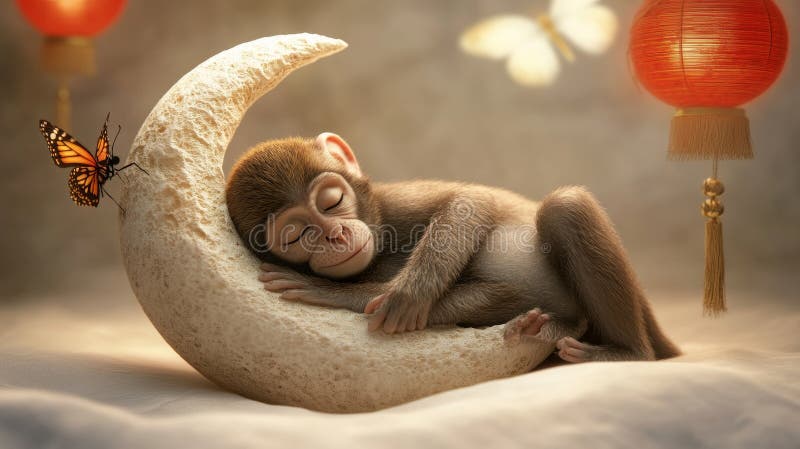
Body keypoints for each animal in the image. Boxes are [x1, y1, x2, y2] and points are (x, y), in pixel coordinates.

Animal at [225, 132, 681, 362]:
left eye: (332, 202)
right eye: (296, 235)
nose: (335, 235)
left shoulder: (396, 201)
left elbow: (472, 200)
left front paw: (401, 295)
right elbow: (503, 294)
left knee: (564, 207)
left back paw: (627, 352)